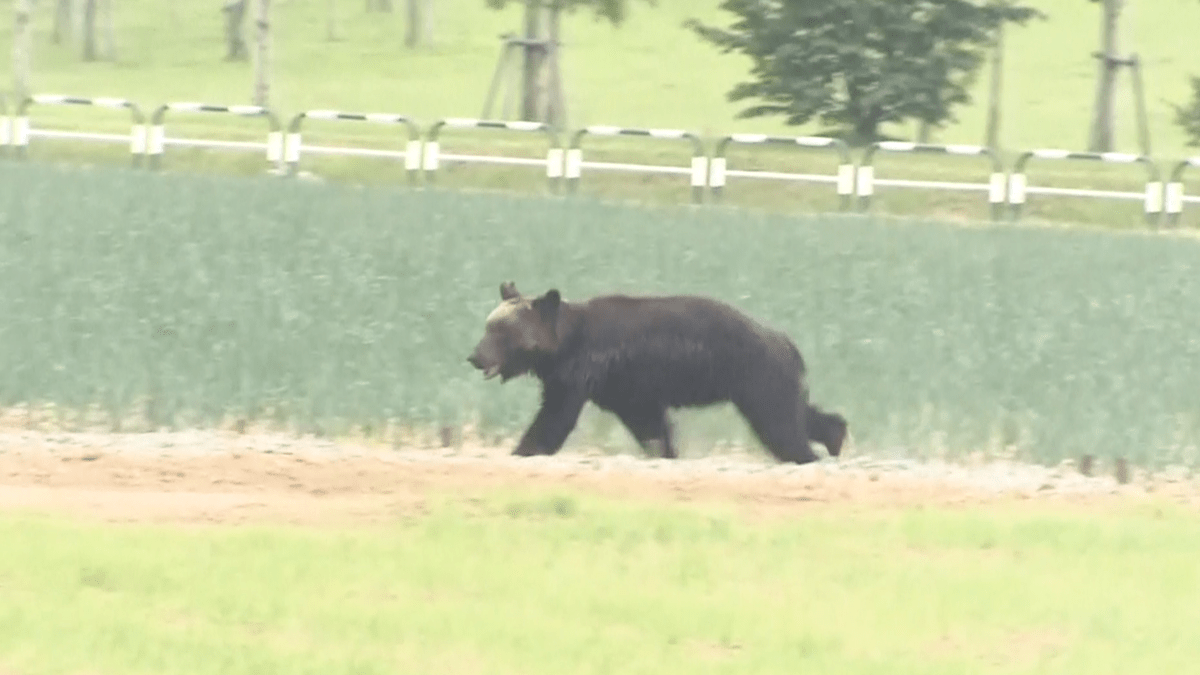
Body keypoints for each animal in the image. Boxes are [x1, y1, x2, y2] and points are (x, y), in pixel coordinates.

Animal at [467, 282, 848, 464]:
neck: (565, 345)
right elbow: (649, 424)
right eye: (488, 327)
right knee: (799, 413)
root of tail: (786, 341)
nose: (474, 357)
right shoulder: (624, 387)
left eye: (500, 332)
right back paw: (835, 436)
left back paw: (805, 455)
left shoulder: (586, 371)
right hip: (765, 382)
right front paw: (664, 451)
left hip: (755, 377)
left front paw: (524, 449)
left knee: (780, 425)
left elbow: (555, 417)